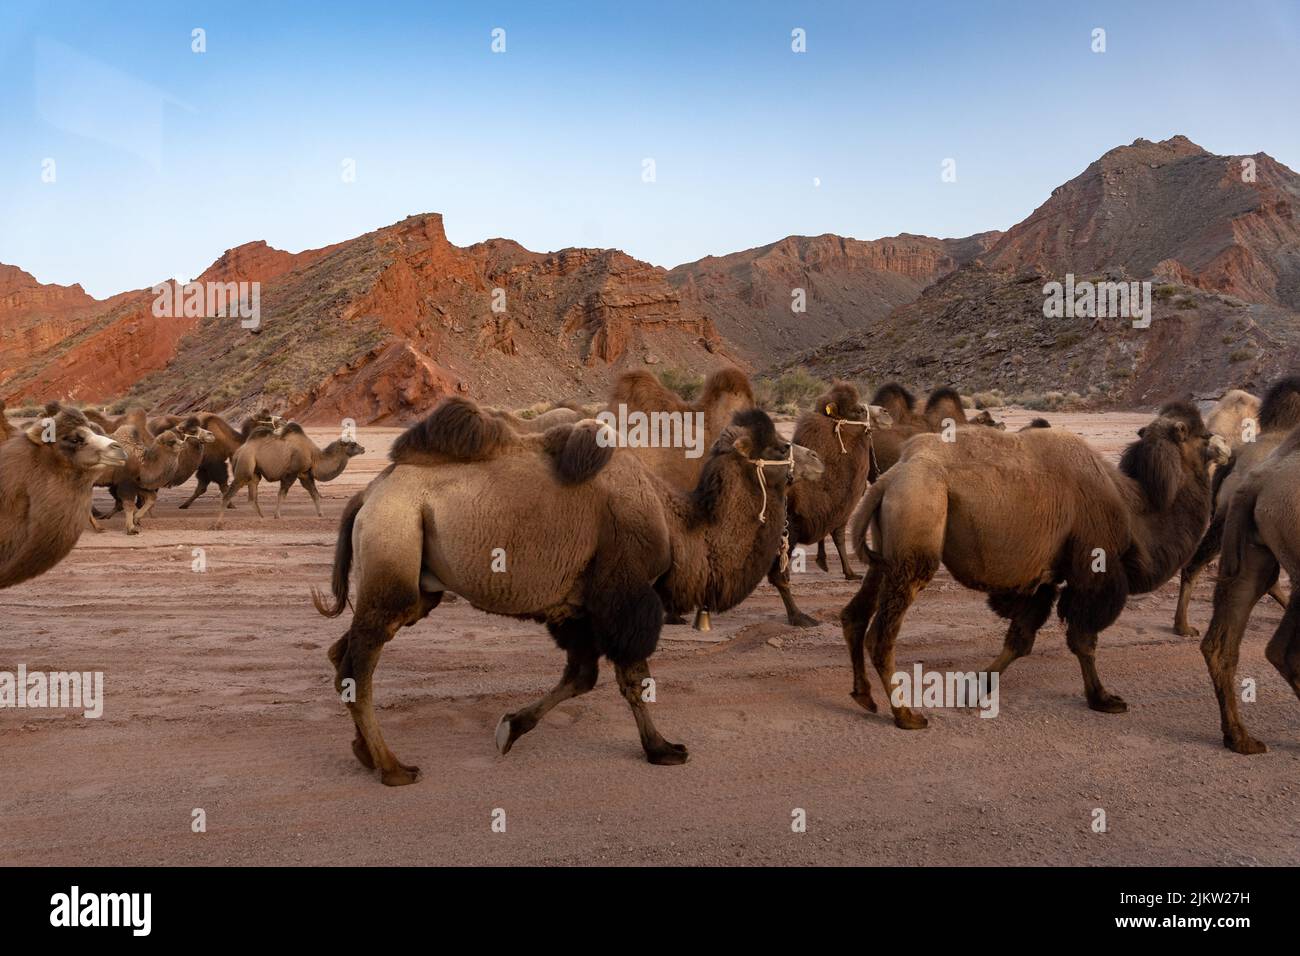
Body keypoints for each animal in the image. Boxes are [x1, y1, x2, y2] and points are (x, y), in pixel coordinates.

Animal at [221, 422, 364, 518]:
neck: (314, 456)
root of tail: (238, 452)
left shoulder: (304, 473)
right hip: (245, 464)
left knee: (253, 492)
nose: (363, 448)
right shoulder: (291, 473)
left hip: (255, 471)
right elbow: (282, 493)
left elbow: (314, 493)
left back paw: (261, 516)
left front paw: (321, 514)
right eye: (352, 444)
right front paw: (277, 515)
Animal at [312, 398, 822, 785]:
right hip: (394, 543)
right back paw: (393, 767)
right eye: (781, 445)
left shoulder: (576, 609)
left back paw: (364, 752)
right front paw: (662, 748)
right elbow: (634, 678)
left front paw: (510, 727)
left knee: (345, 653)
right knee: (360, 663)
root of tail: (368, 495)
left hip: (414, 581)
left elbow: (581, 676)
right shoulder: (625, 595)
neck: (677, 527)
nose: (816, 459)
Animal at [768, 381, 893, 626]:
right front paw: (850, 572)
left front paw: (831, 565)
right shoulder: (797, 526)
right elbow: (838, 535)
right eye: (858, 410)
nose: (886, 413)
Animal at [840, 402, 1229, 729]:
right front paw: (1103, 698)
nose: (1227, 448)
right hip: (919, 525)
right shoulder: (1093, 571)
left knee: (855, 615)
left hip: (889, 550)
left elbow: (1021, 639)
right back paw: (906, 715)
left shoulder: (1043, 580)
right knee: (882, 635)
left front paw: (975, 686)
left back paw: (864, 696)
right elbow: (1083, 639)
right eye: (1204, 435)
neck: (1134, 508)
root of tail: (891, 477)